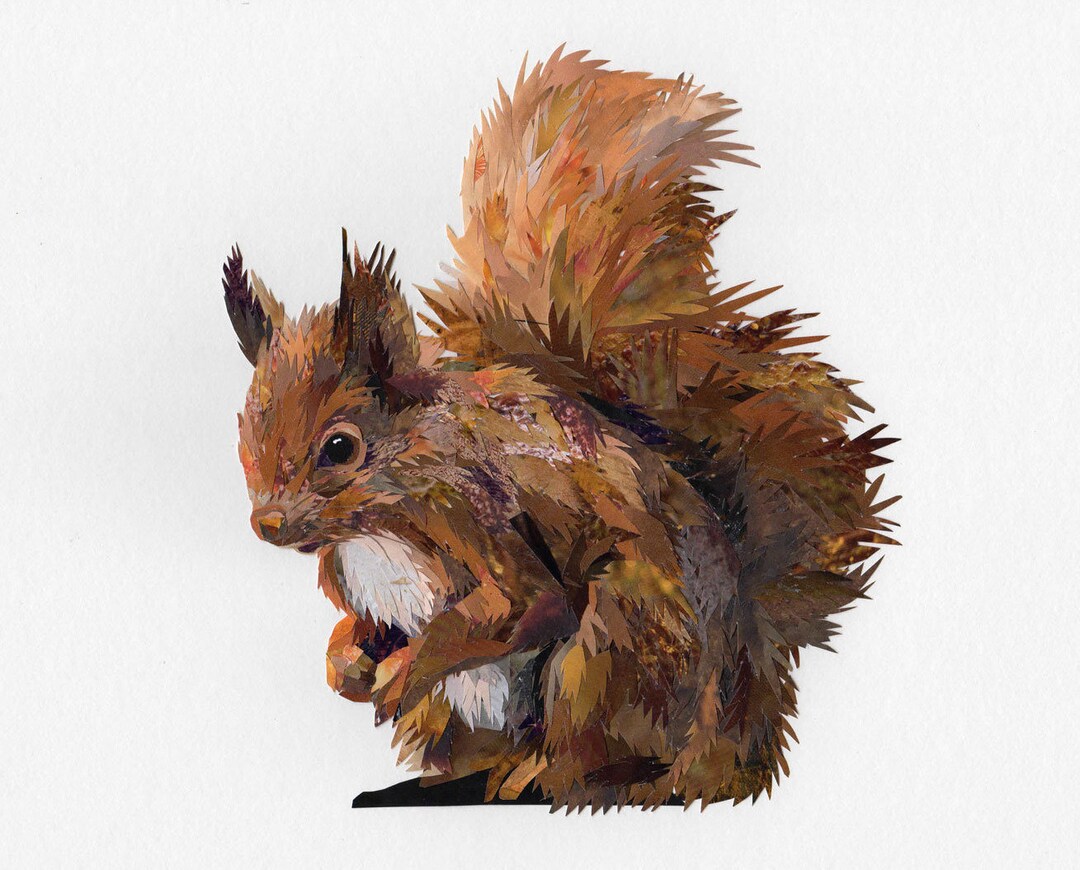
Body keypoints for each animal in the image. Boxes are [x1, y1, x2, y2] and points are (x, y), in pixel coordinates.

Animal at [222, 47, 897, 810]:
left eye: (339, 448)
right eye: (242, 431)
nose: (267, 525)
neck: (378, 521)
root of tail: (730, 734)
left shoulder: (480, 519)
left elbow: (519, 603)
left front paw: (405, 669)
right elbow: (362, 629)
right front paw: (345, 665)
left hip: (608, 650)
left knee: (592, 764)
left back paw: (537, 775)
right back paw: (460, 777)